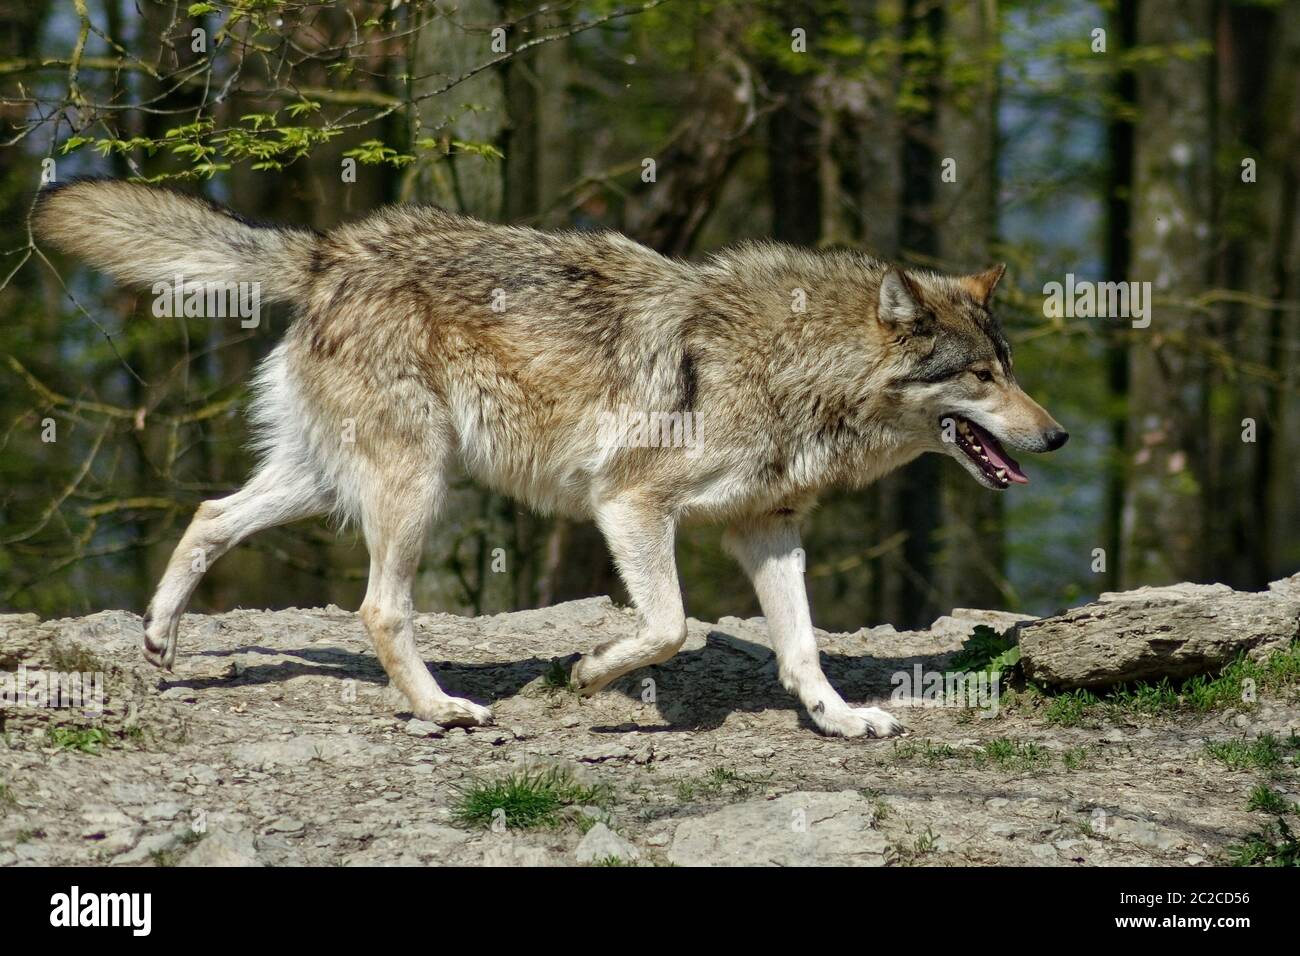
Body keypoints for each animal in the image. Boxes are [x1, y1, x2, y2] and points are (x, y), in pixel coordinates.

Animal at [33, 178, 1067, 738]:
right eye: (981, 375)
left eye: (1012, 368)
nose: (1055, 436)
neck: (794, 365)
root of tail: (331, 249)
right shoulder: (630, 505)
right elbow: (669, 626)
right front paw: (592, 674)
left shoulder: (765, 530)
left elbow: (804, 646)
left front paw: (840, 719)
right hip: (415, 488)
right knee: (378, 608)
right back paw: (444, 709)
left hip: (326, 482)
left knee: (209, 515)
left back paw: (160, 641)